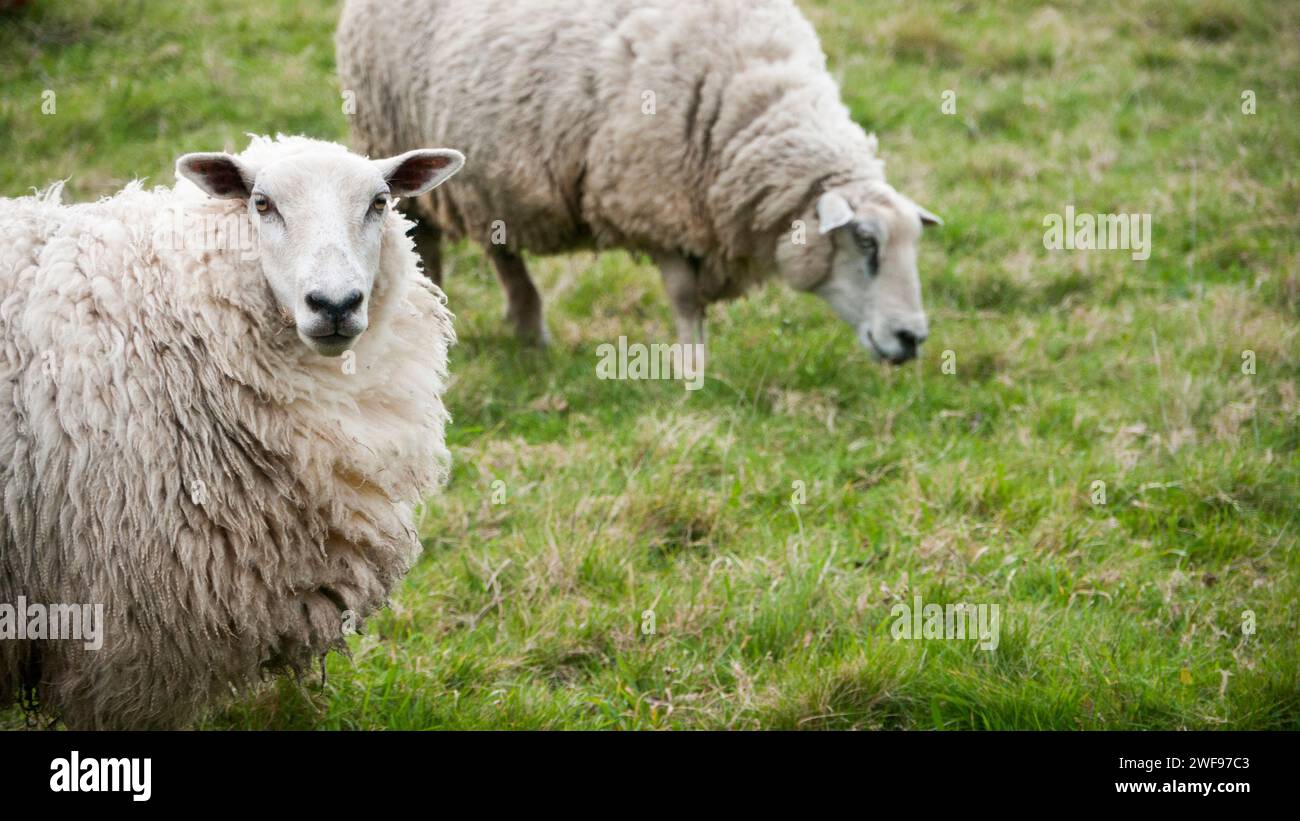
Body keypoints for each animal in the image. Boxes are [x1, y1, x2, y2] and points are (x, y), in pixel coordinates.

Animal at [337, 0, 942, 365]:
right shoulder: (655, 202)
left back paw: (530, 329)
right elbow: (684, 296)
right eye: (865, 242)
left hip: (489, 173)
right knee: (428, 244)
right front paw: (693, 367)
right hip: (392, 127)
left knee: (502, 247)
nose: (912, 339)